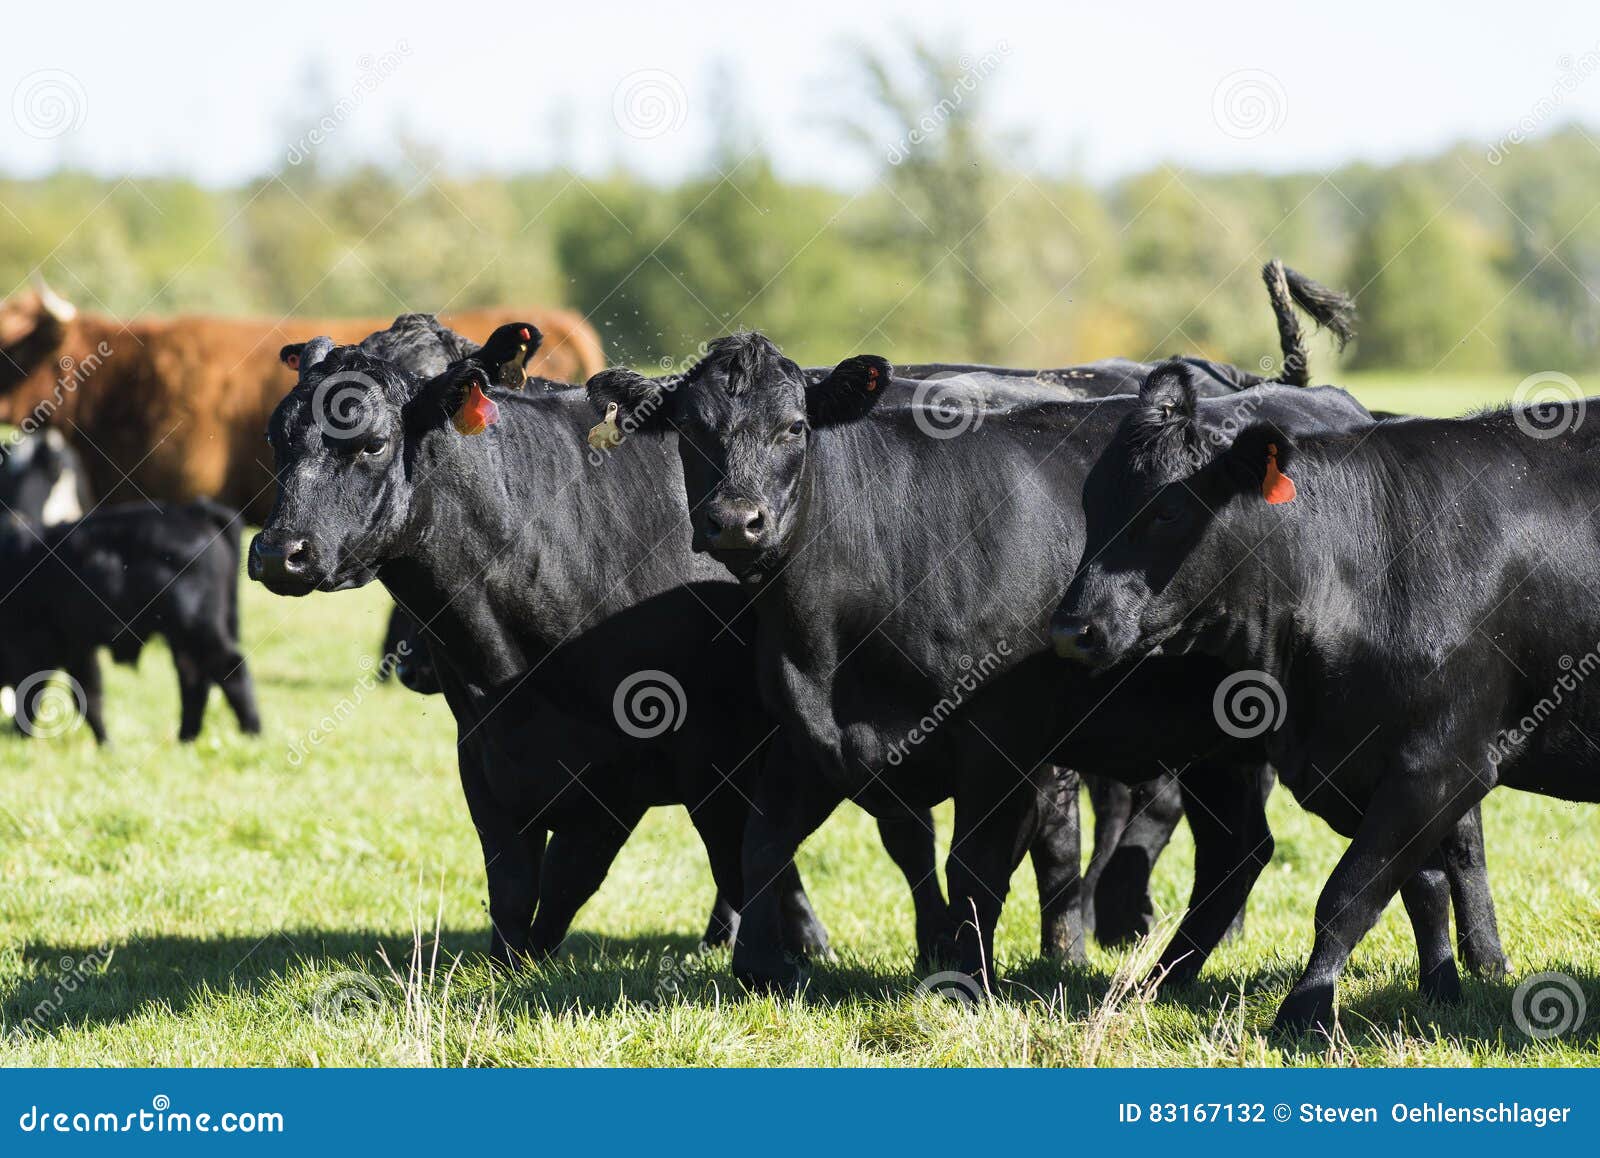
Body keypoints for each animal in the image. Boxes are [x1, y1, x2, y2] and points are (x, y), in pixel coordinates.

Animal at [0, 498, 260, 743]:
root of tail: (193, 511)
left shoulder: (32, 650)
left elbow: (30, 696)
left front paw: (18, 738)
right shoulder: (78, 650)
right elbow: (88, 697)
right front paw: (106, 745)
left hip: (197, 628)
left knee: (230, 669)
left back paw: (252, 732)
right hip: (182, 639)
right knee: (194, 679)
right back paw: (187, 738)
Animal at [246, 322, 968, 967]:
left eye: (371, 442)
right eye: (278, 439)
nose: (279, 552)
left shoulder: (656, 767)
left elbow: (579, 879)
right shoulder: (483, 758)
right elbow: (516, 897)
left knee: (898, 834)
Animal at [586, 327, 1504, 998]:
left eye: (794, 428)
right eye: (692, 432)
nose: (736, 522)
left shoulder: (1002, 743)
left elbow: (974, 867)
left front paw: (965, 981)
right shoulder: (809, 734)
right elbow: (763, 843)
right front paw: (759, 971)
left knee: (1446, 836)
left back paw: (1473, 968)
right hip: (1221, 740)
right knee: (1239, 852)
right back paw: (1167, 979)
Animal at [1048, 361, 1570, 1034]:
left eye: (1167, 510)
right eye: (1090, 502)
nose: (1070, 629)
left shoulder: (1441, 761)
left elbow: (1346, 897)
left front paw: (1302, 1016)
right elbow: (1420, 885)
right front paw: (1441, 994)